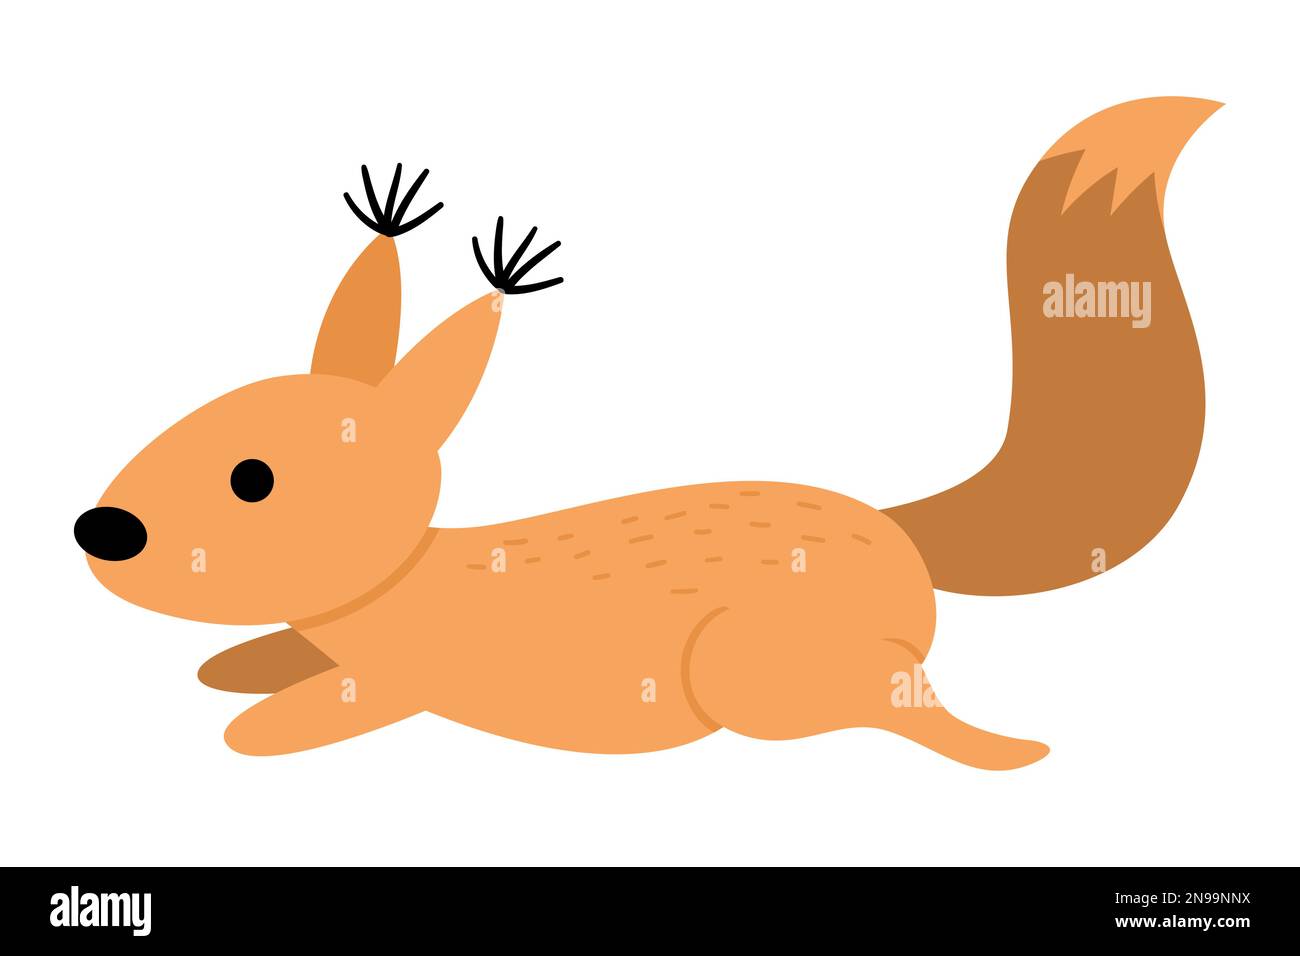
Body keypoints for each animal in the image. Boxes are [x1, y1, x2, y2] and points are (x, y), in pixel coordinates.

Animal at [75, 97, 1218, 769]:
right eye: (185, 423)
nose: (103, 531)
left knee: (900, 701)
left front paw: (257, 720)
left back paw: (997, 747)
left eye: (253, 477)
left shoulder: (413, 680)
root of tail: (894, 522)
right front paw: (245, 660)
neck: (402, 580)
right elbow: (277, 650)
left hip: (751, 670)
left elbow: (327, 705)